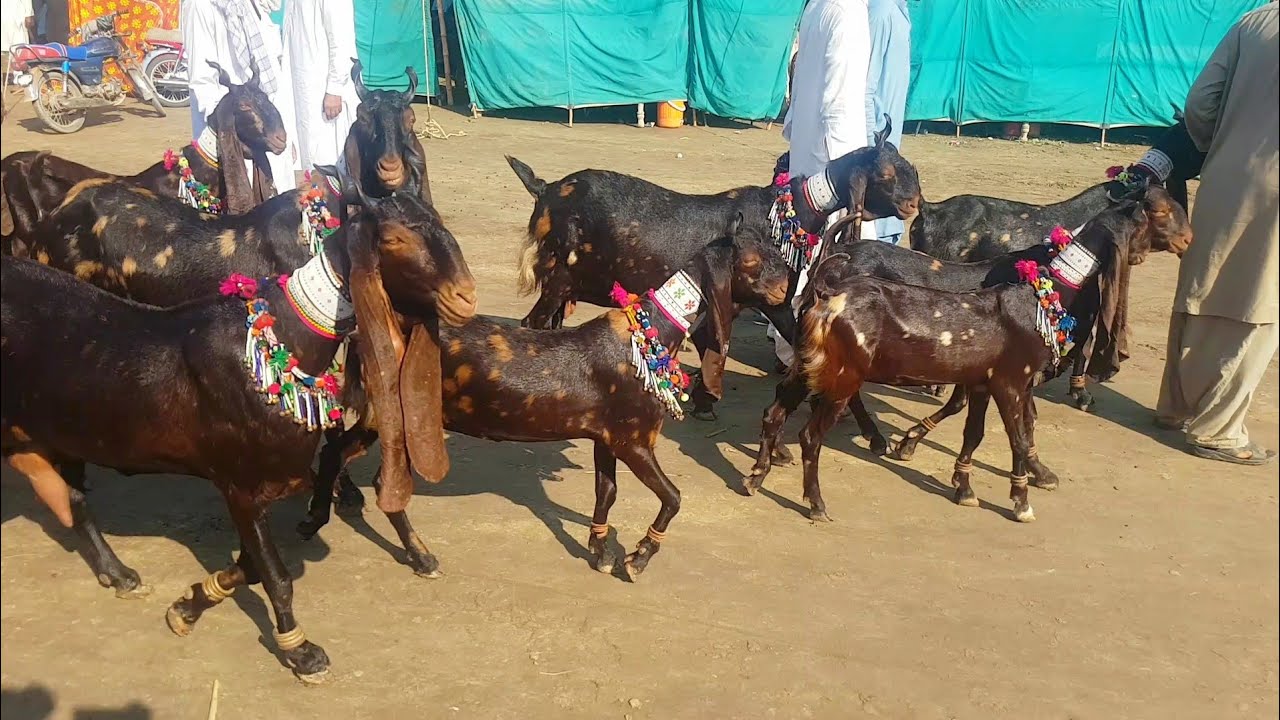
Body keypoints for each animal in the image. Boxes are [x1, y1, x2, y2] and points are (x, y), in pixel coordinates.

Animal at [1, 177, 477, 681]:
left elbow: (253, 565)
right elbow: (276, 574)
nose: (465, 297)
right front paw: (301, 651)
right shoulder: (240, 485)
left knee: (69, 494)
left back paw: (117, 572)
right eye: (394, 239)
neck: (278, 341)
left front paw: (189, 604)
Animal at [301, 228, 792, 581]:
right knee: (384, 480)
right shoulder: (634, 439)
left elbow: (606, 492)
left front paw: (599, 550)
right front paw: (637, 558)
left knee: (335, 451)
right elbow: (673, 497)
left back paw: (320, 514)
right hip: (401, 418)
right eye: (754, 261)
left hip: (378, 415)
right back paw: (422, 557)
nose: (789, 288)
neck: (648, 336)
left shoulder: (605, 436)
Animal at [745, 188, 1182, 523]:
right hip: (842, 377)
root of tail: (825, 287)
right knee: (811, 434)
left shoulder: (982, 382)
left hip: (808, 367)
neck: (1043, 294)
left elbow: (975, 430)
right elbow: (1019, 436)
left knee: (774, 412)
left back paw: (758, 474)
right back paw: (820, 499)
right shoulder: (1011, 383)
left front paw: (964, 484)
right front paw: (1022, 499)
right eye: (1158, 212)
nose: (1186, 241)